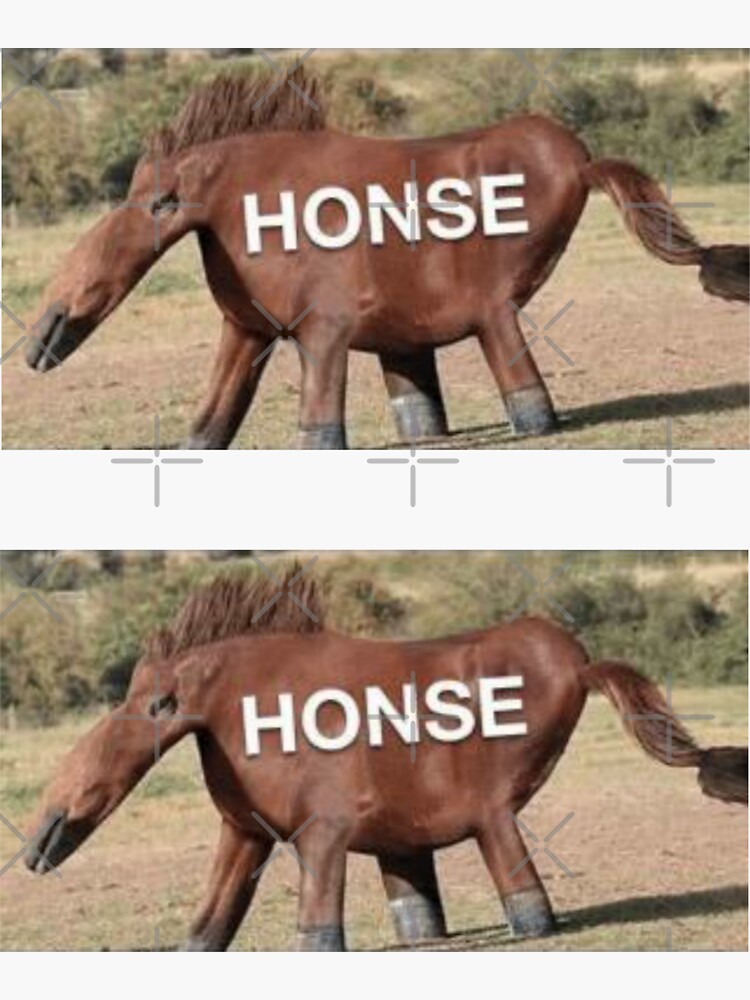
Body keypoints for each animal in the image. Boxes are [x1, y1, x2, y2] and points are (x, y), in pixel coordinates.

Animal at [25, 568, 747, 951]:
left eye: (153, 705)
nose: (38, 841)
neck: (247, 706)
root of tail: (579, 660)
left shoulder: (321, 831)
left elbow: (317, 921)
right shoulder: (247, 831)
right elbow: (209, 920)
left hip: (492, 814)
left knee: (518, 878)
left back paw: (531, 924)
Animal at [26, 69, 748, 449]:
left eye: (158, 204)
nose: (40, 338)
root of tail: (580, 158)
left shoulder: (322, 330)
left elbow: (318, 417)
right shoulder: (250, 328)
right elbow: (212, 415)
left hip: (493, 311)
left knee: (519, 375)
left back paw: (532, 424)